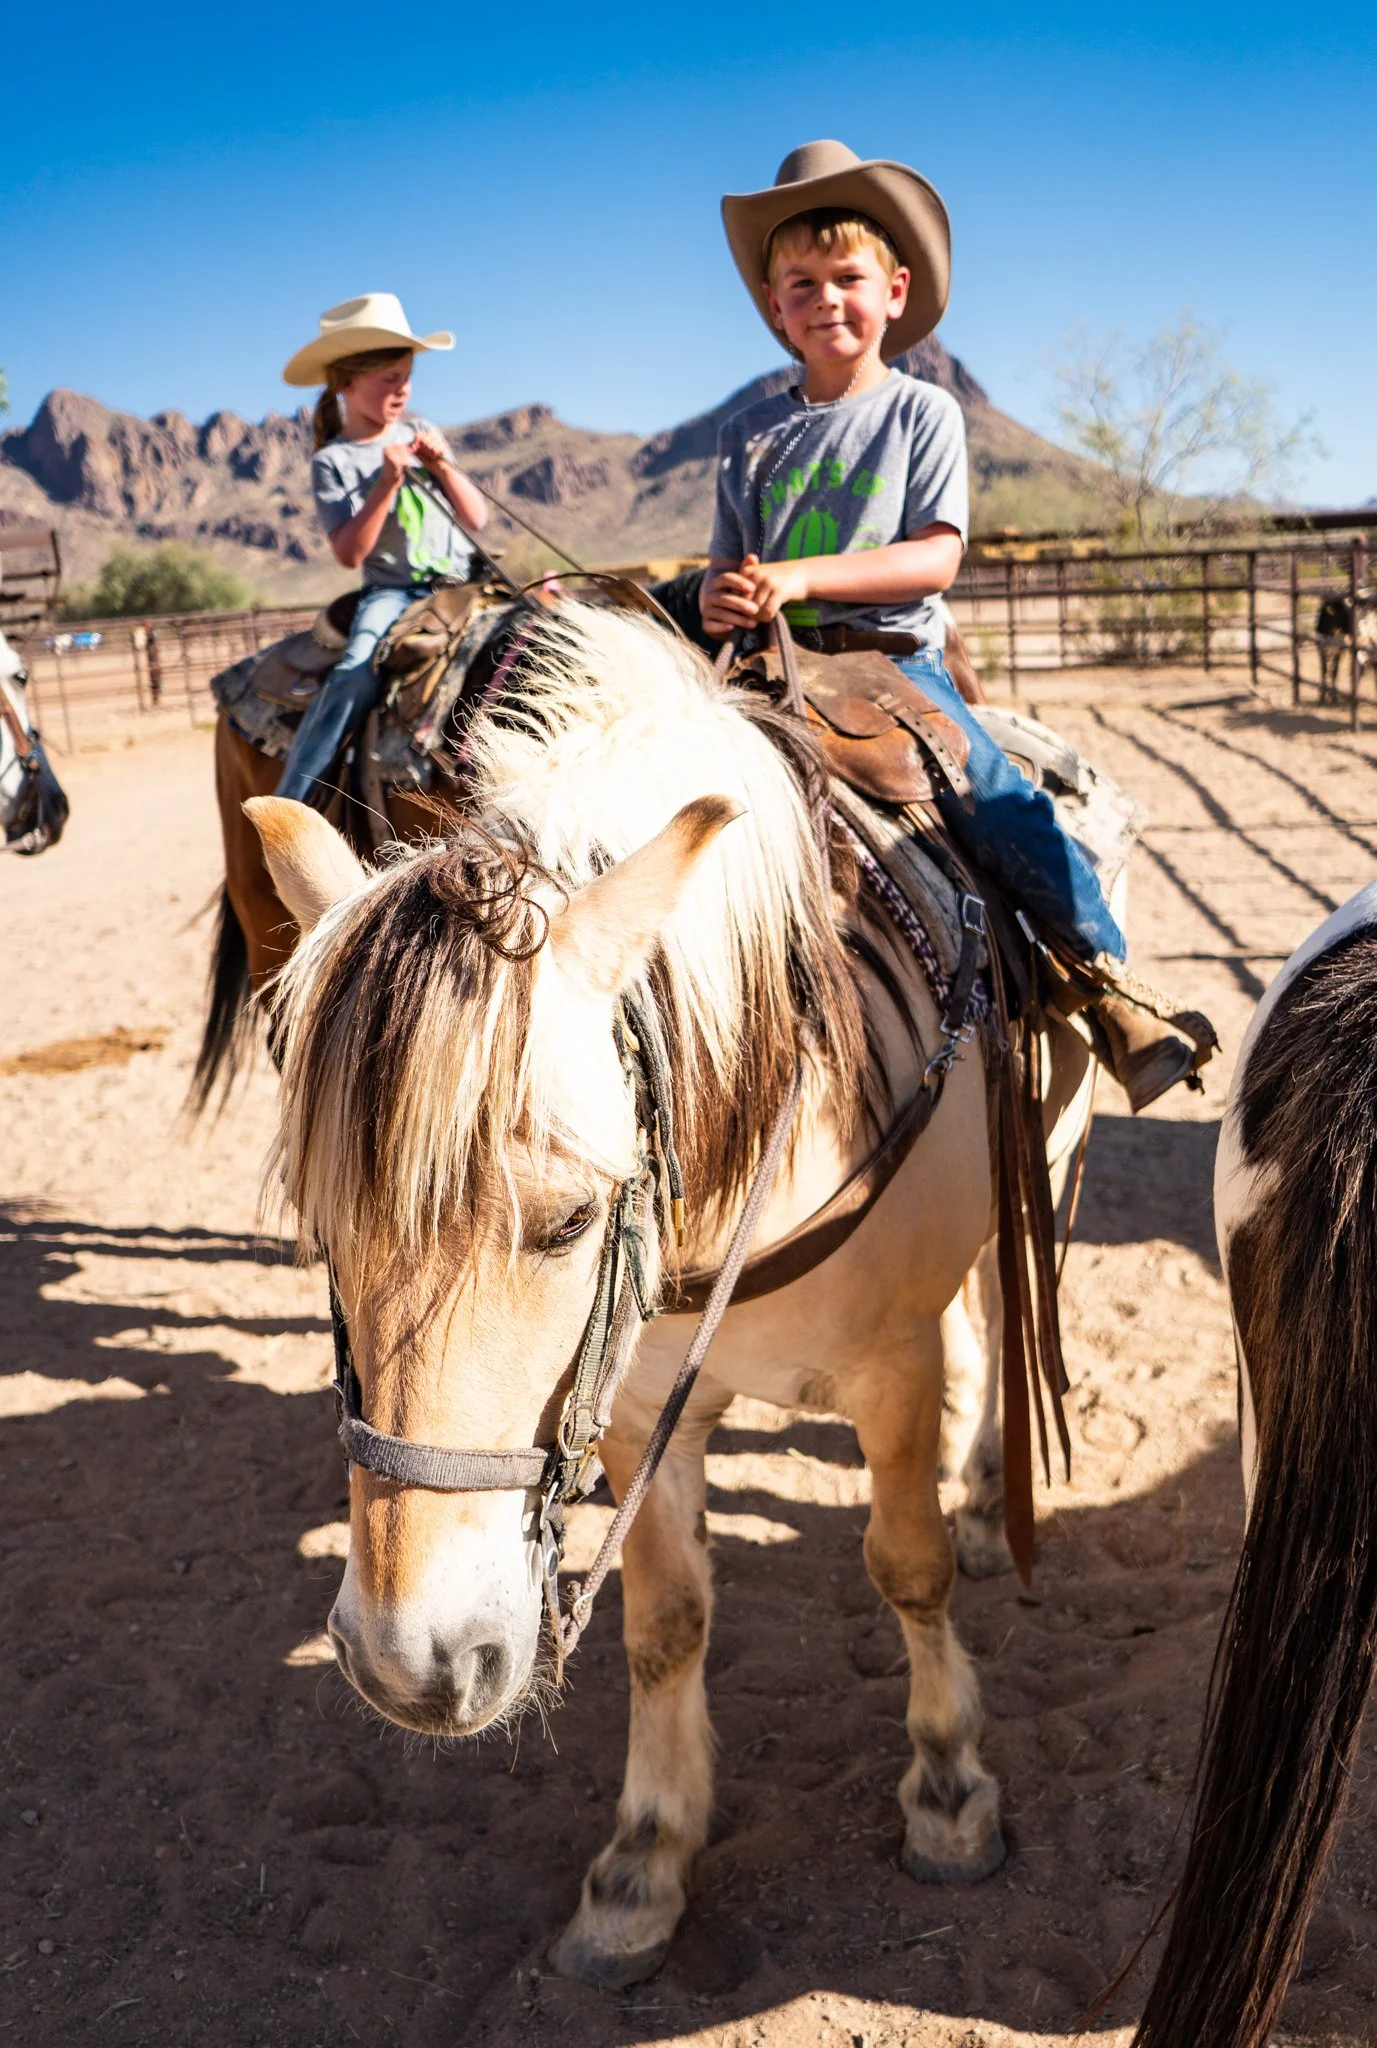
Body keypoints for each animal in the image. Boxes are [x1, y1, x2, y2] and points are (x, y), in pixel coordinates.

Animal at [234, 599, 1107, 1988]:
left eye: (571, 1219)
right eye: (325, 1227)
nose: (407, 1664)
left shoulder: (890, 1370)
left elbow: (906, 1565)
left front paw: (949, 1788)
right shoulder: (643, 1410)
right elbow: (666, 1622)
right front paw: (643, 1860)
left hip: (1049, 1169)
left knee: (996, 1325)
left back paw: (983, 1499)